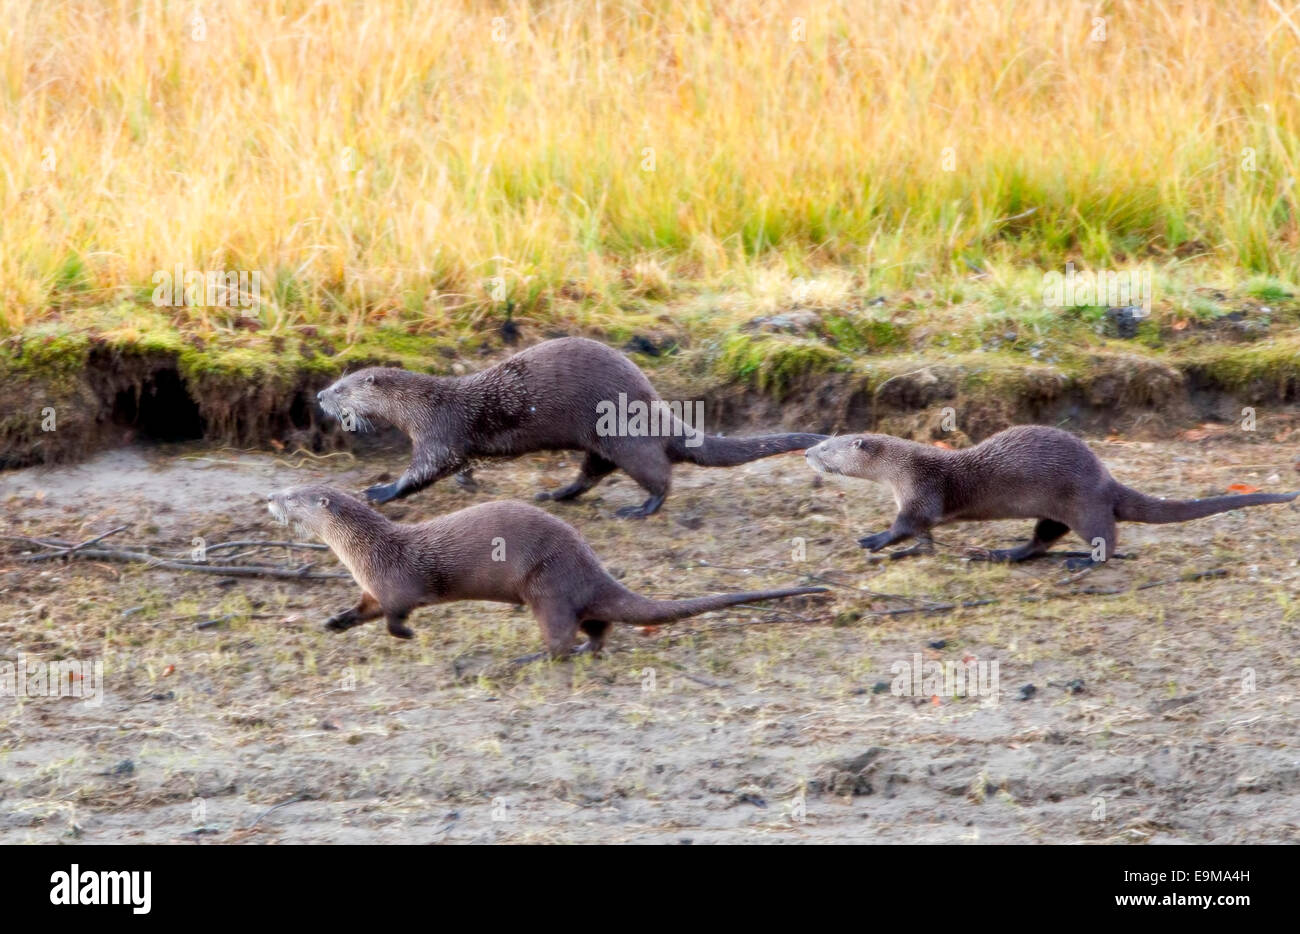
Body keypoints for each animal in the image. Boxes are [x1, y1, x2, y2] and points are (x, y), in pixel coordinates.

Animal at [266, 484, 826, 657]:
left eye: (293, 497)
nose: (269, 497)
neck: (366, 552)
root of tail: (591, 566)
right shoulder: (371, 589)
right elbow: (361, 612)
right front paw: (334, 622)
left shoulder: (397, 585)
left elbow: (396, 616)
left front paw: (408, 637)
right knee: (597, 628)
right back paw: (586, 648)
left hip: (546, 586)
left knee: (560, 639)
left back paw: (525, 658)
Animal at [316, 337, 827, 518]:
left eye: (341, 388)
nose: (319, 397)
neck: (423, 405)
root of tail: (656, 404)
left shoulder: (439, 433)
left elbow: (428, 469)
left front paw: (381, 491)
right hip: (599, 443)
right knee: (592, 473)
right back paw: (555, 493)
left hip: (624, 435)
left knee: (658, 474)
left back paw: (640, 508)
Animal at [805, 426, 1297, 568]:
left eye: (828, 448)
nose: (808, 452)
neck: (902, 473)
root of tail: (1107, 480)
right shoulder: (914, 501)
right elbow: (922, 538)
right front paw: (904, 552)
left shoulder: (923, 493)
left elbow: (907, 526)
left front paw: (874, 541)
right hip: (1056, 511)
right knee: (1041, 539)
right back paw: (1002, 553)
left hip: (1084, 505)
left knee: (1106, 540)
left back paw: (1082, 562)